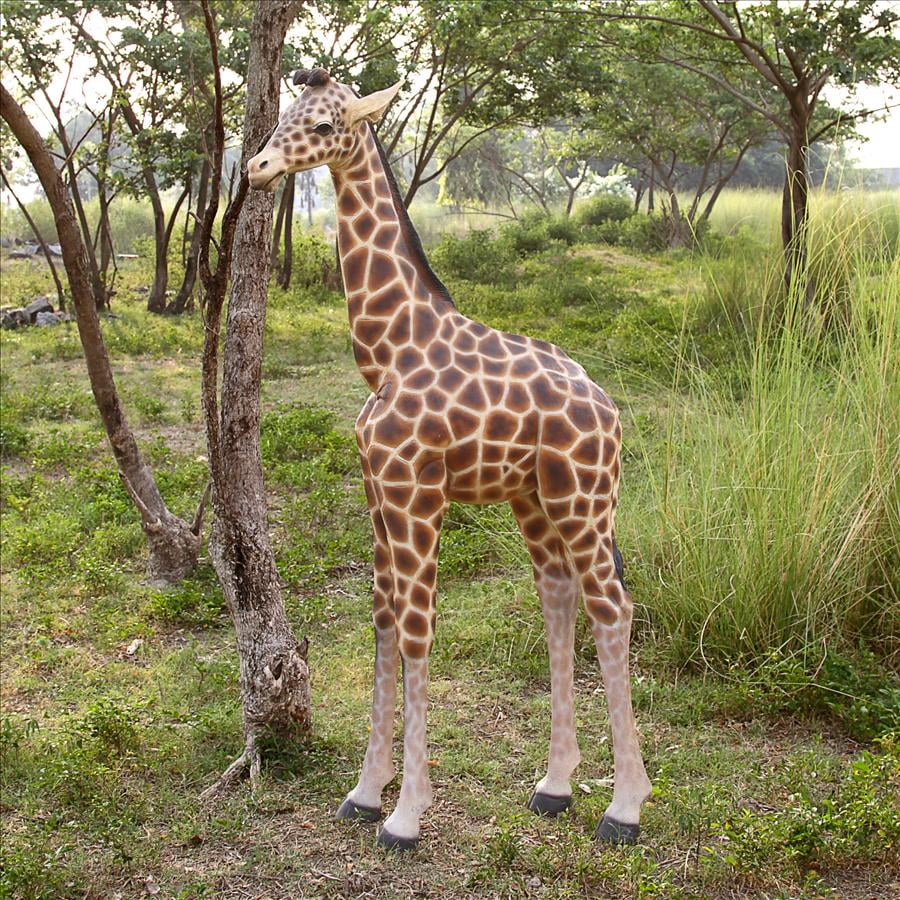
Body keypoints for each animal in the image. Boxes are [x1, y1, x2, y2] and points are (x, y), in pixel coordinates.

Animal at [248, 67, 652, 851]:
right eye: (283, 114)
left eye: (323, 125)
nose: (255, 167)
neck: (387, 353)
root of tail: (609, 409)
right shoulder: (377, 494)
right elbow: (381, 622)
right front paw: (364, 793)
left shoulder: (417, 494)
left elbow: (415, 631)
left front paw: (406, 814)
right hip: (534, 500)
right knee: (557, 596)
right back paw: (555, 786)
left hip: (585, 500)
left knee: (611, 605)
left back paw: (624, 807)